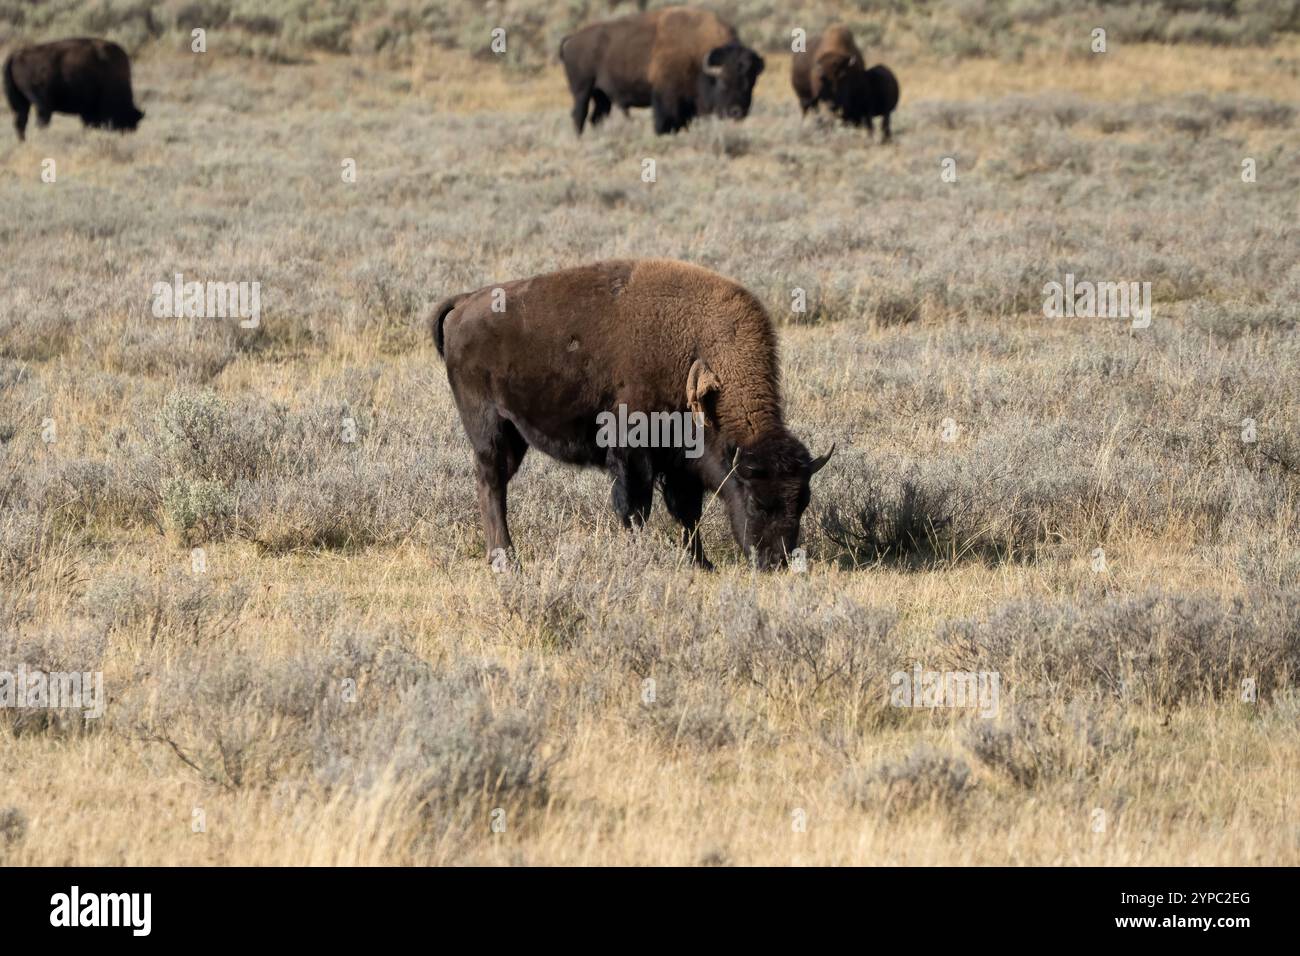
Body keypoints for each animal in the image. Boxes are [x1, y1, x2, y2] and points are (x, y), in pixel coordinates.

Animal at [4, 37, 145, 142]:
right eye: (129, 116)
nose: (129, 131)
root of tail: (15, 55)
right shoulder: (89, 111)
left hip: (22, 102)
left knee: (21, 122)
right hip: (42, 104)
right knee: (40, 121)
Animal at [430, 259, 833, 571]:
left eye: (802, 501)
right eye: (754, 498)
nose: (776, 561)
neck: (696, 345)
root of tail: (464, 303)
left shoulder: (680, 463)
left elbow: (687, 513)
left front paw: (702, 564)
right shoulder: (633, 454)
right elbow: (636, 508)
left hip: (514, 435)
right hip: (489, 428)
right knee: (491, 483)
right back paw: (505, 559)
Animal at [560, 6, 765, 136]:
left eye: (751, 83)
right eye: (722, 81)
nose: (737, 112)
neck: (697, 53)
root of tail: (572, 38)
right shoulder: (666, 97)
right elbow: (664, 122)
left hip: (602, 96)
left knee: (596, 118)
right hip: (582, 91)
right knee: (579, 115)